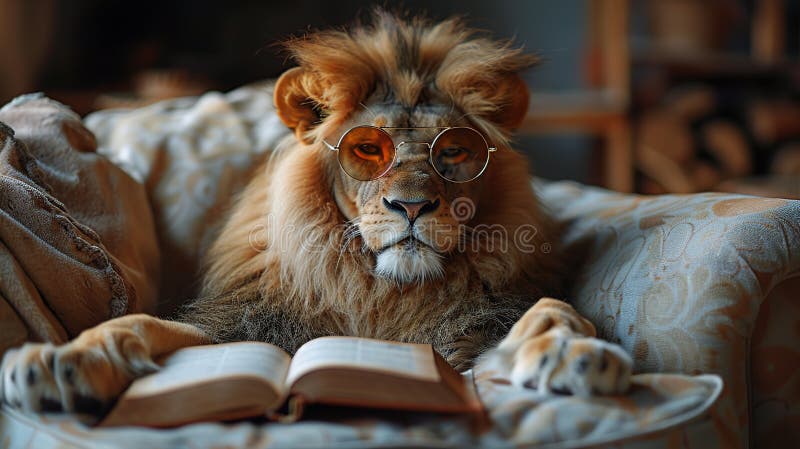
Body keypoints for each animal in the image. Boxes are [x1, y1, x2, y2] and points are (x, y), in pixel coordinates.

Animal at [1, 11, 632, 415]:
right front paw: (61, 361)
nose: (411, 205)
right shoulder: (238, 327)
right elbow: (136, 325)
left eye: (453, 152)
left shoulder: (478, 331)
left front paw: (573, 353)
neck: (384, 293)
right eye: (367, 150)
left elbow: (551, 310)